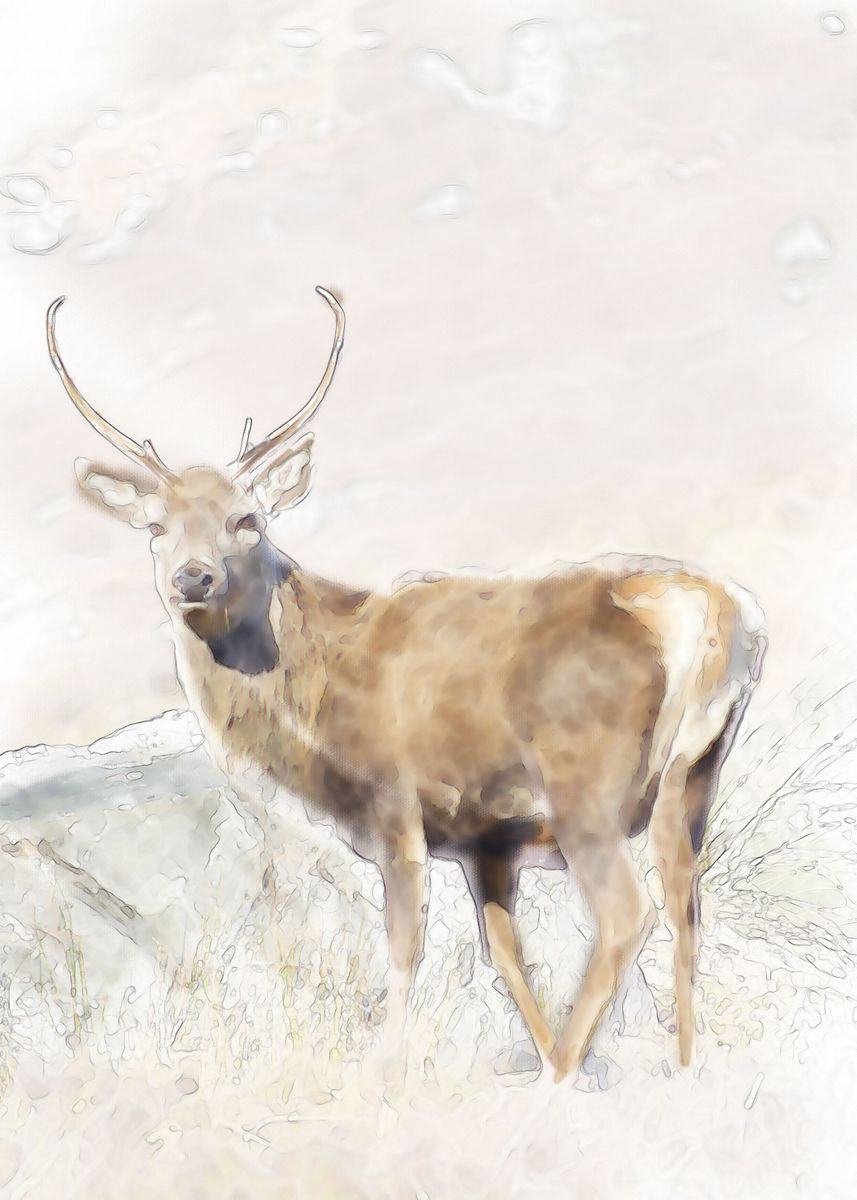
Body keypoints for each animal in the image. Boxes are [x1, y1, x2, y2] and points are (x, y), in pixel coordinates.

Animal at [46, 287, 766, 1083]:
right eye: (154, 527)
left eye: (246, 517)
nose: (192, 577)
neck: (316, 699)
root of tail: (719, 610)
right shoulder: (487, 841)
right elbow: (505, 958)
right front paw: (544, 1054)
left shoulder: (395, 800)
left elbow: (403, 948)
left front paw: (388, 1069)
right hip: (695, 774)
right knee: (686, 908)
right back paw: (680, 1067)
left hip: (585, 778)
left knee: (626, 913)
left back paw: (557, 1081)